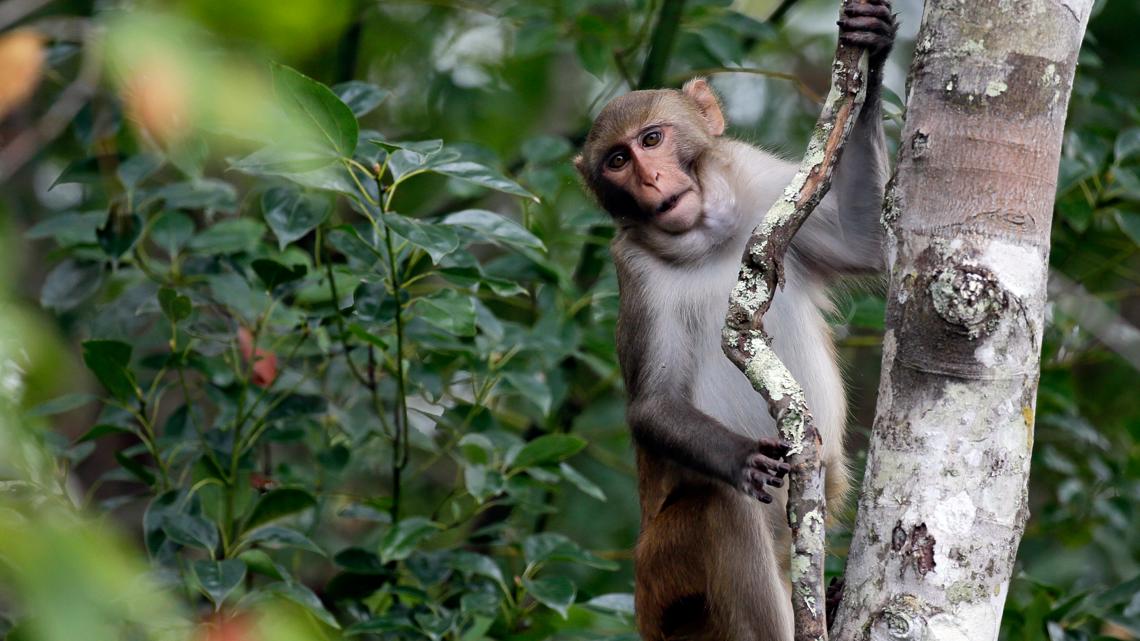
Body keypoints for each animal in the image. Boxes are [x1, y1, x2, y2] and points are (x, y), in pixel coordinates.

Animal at [573, 3, 896, 640]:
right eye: (618, 161)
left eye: (652, 139)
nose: (650, 180)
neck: (708, 240)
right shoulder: (635, 272)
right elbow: (653, 405)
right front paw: (742, 458)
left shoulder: (765, 183)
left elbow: (867, 242)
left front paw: (872, 52)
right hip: (664, 576)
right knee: (722, 511)